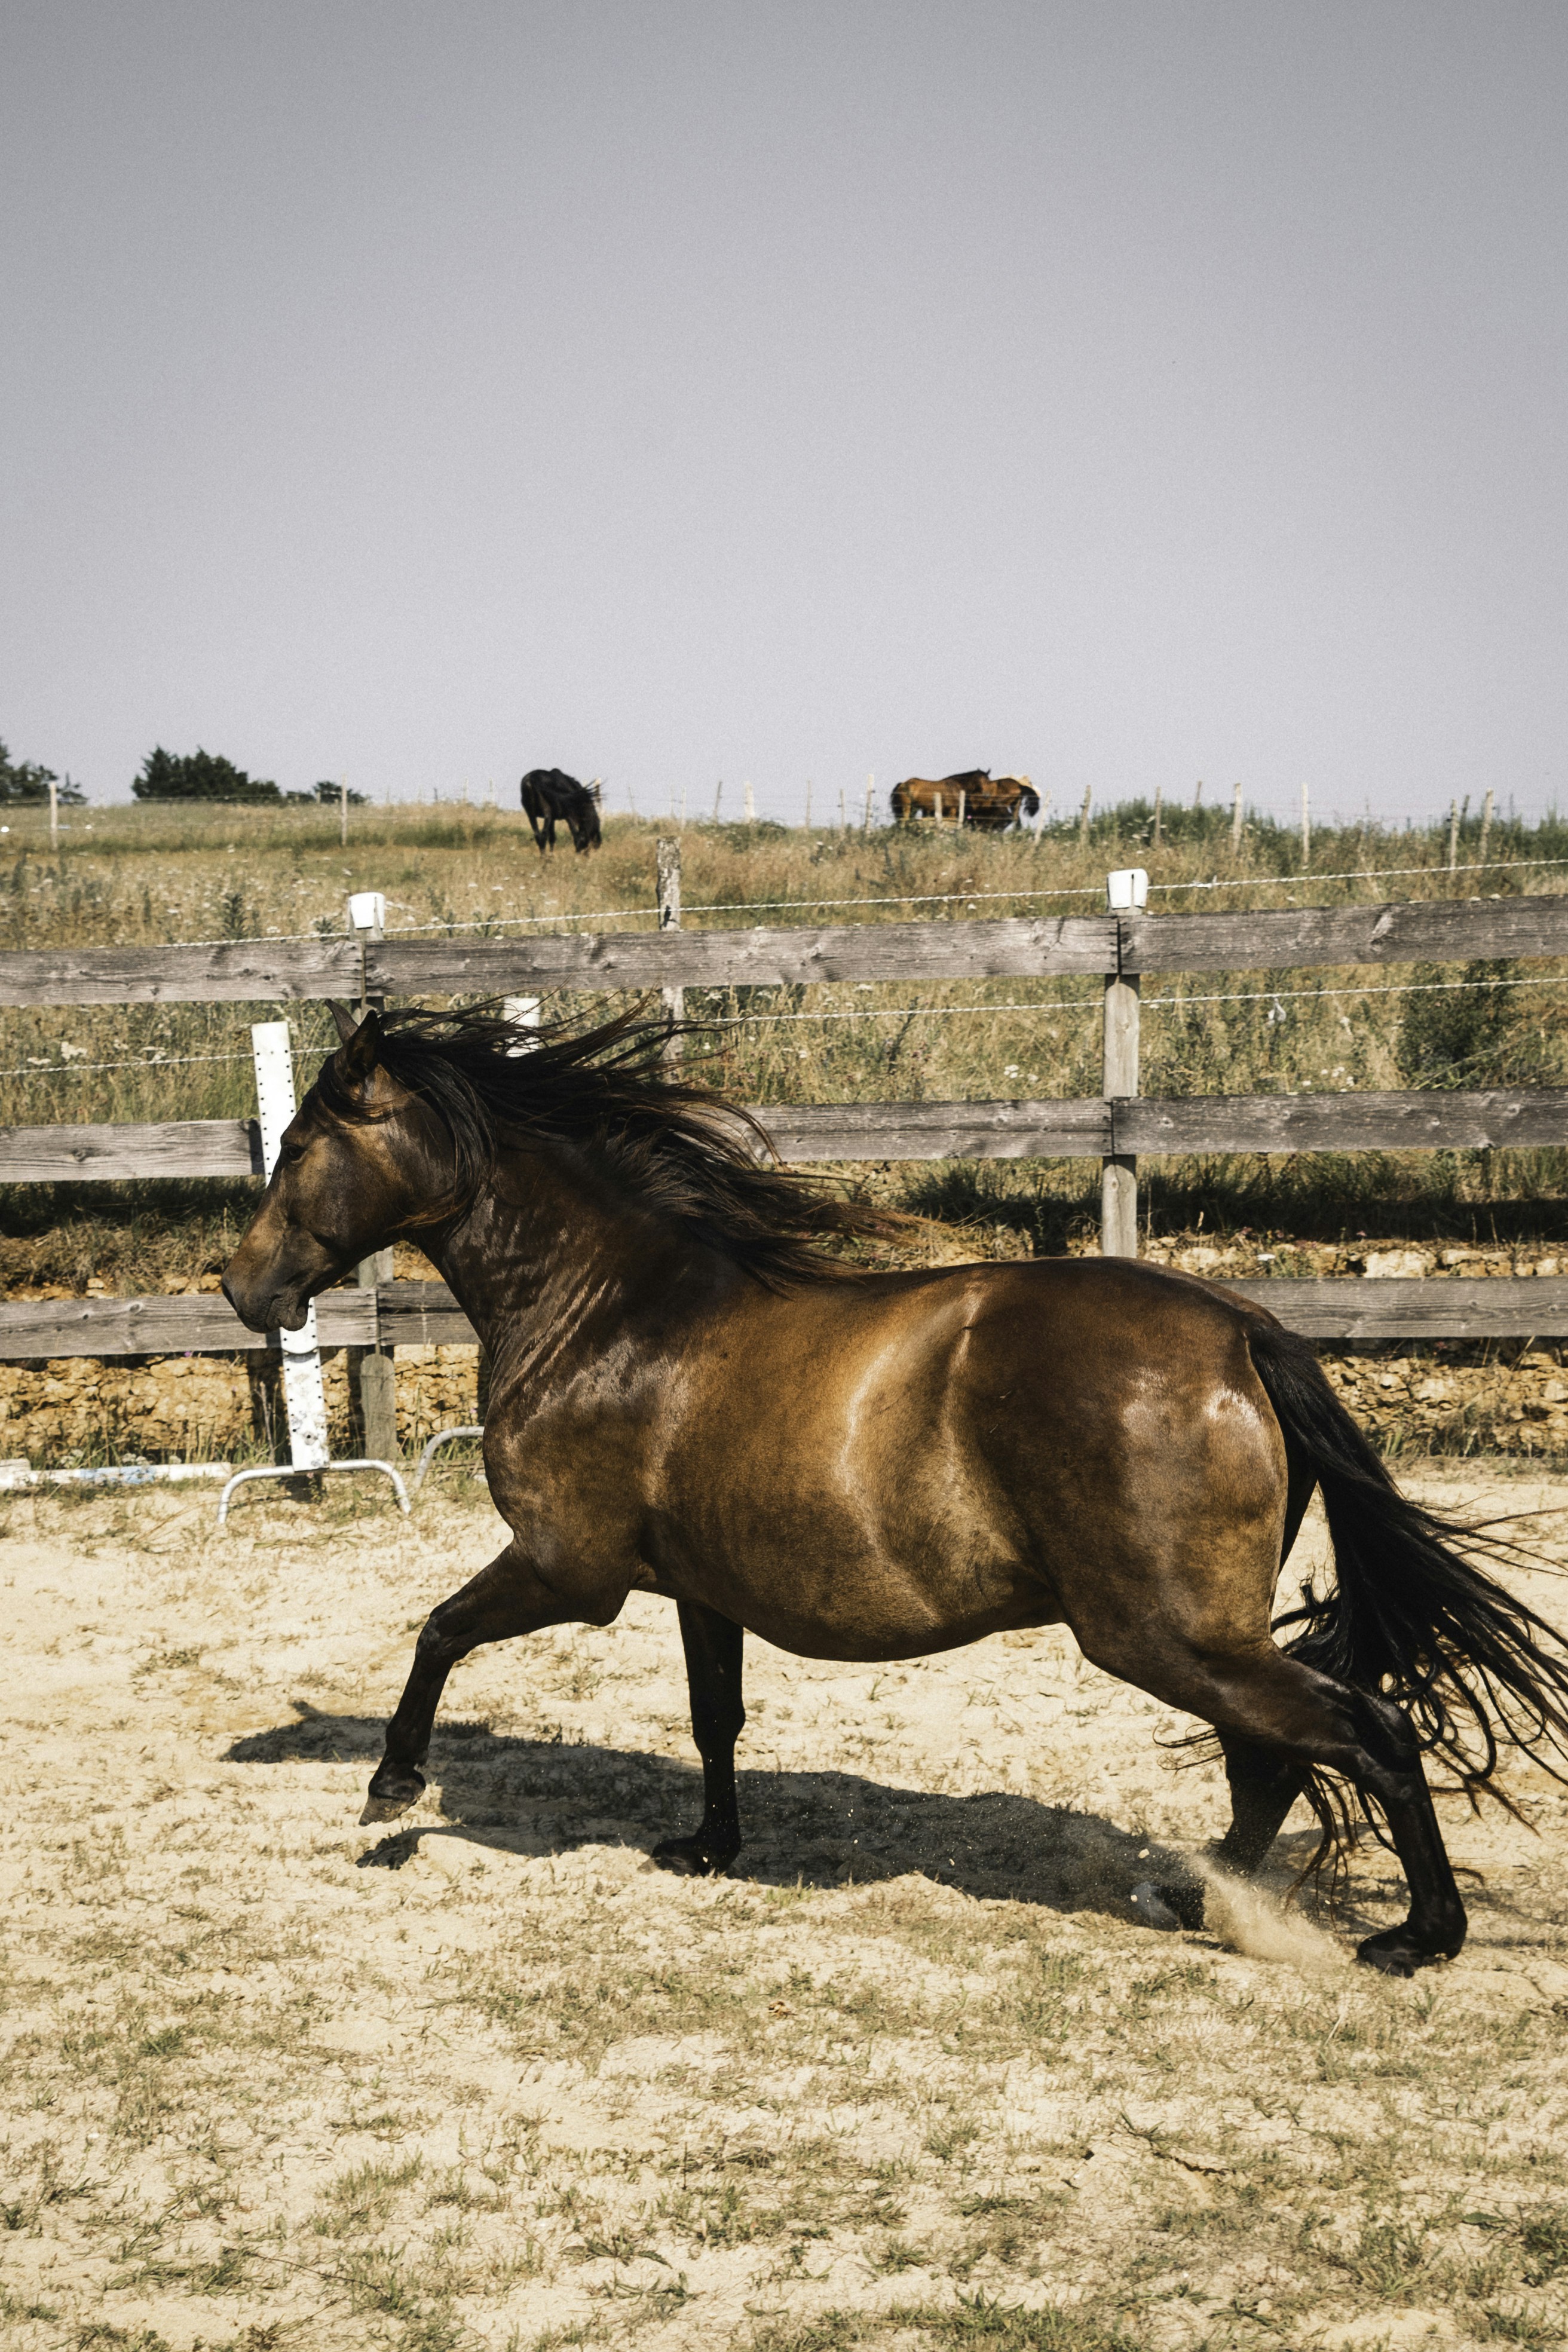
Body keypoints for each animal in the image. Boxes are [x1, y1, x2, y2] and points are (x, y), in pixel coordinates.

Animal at [221, 1005, 1568, 1977]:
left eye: (298, 1148)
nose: (244, 1289)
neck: (607, 1311)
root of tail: (1243, 1332)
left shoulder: (569, 1567)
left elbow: (438, 1629)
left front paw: (392, 1788)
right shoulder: (697, 1587)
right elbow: (716, 1719)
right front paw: (706, 1848)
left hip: (1161, 1633)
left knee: (1360, 1732)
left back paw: (1412, 1936)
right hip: (1197, 1635)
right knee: (1274, 1758)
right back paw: (1192, 1895)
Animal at [520, 768, 602, 853]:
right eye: (598, 824)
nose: (598, 843)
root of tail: (531, 780)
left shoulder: (553, 819)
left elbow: (552, 838)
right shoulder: (569, 816)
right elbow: (576, 835)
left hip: (531, 815)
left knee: (538, 835)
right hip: (547, 814)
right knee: (543, 836)